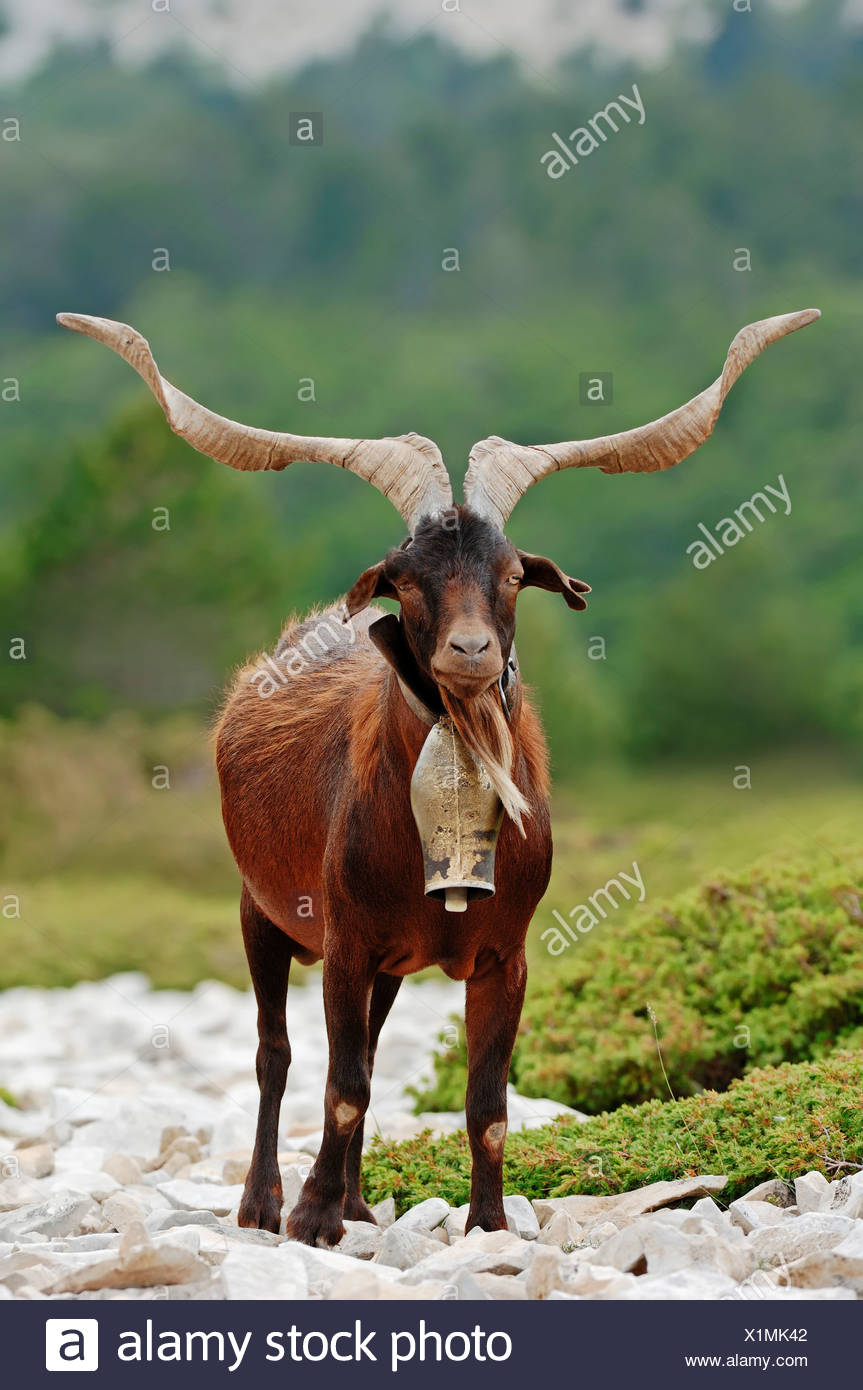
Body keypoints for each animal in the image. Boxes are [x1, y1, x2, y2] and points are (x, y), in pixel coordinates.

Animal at [58, 306, 819, 1245]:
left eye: (510, 576)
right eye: (408, 581)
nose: (470, 651)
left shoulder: (503, 956)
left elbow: (483, 1101)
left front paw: (484, 1227)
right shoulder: (344, 941)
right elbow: (341, 1083)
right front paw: (311, 1218)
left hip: (385, 961)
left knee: (370, 1047)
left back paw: (355, 1201)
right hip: (260, 911)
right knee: (276, 1054)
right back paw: (262, 1201)